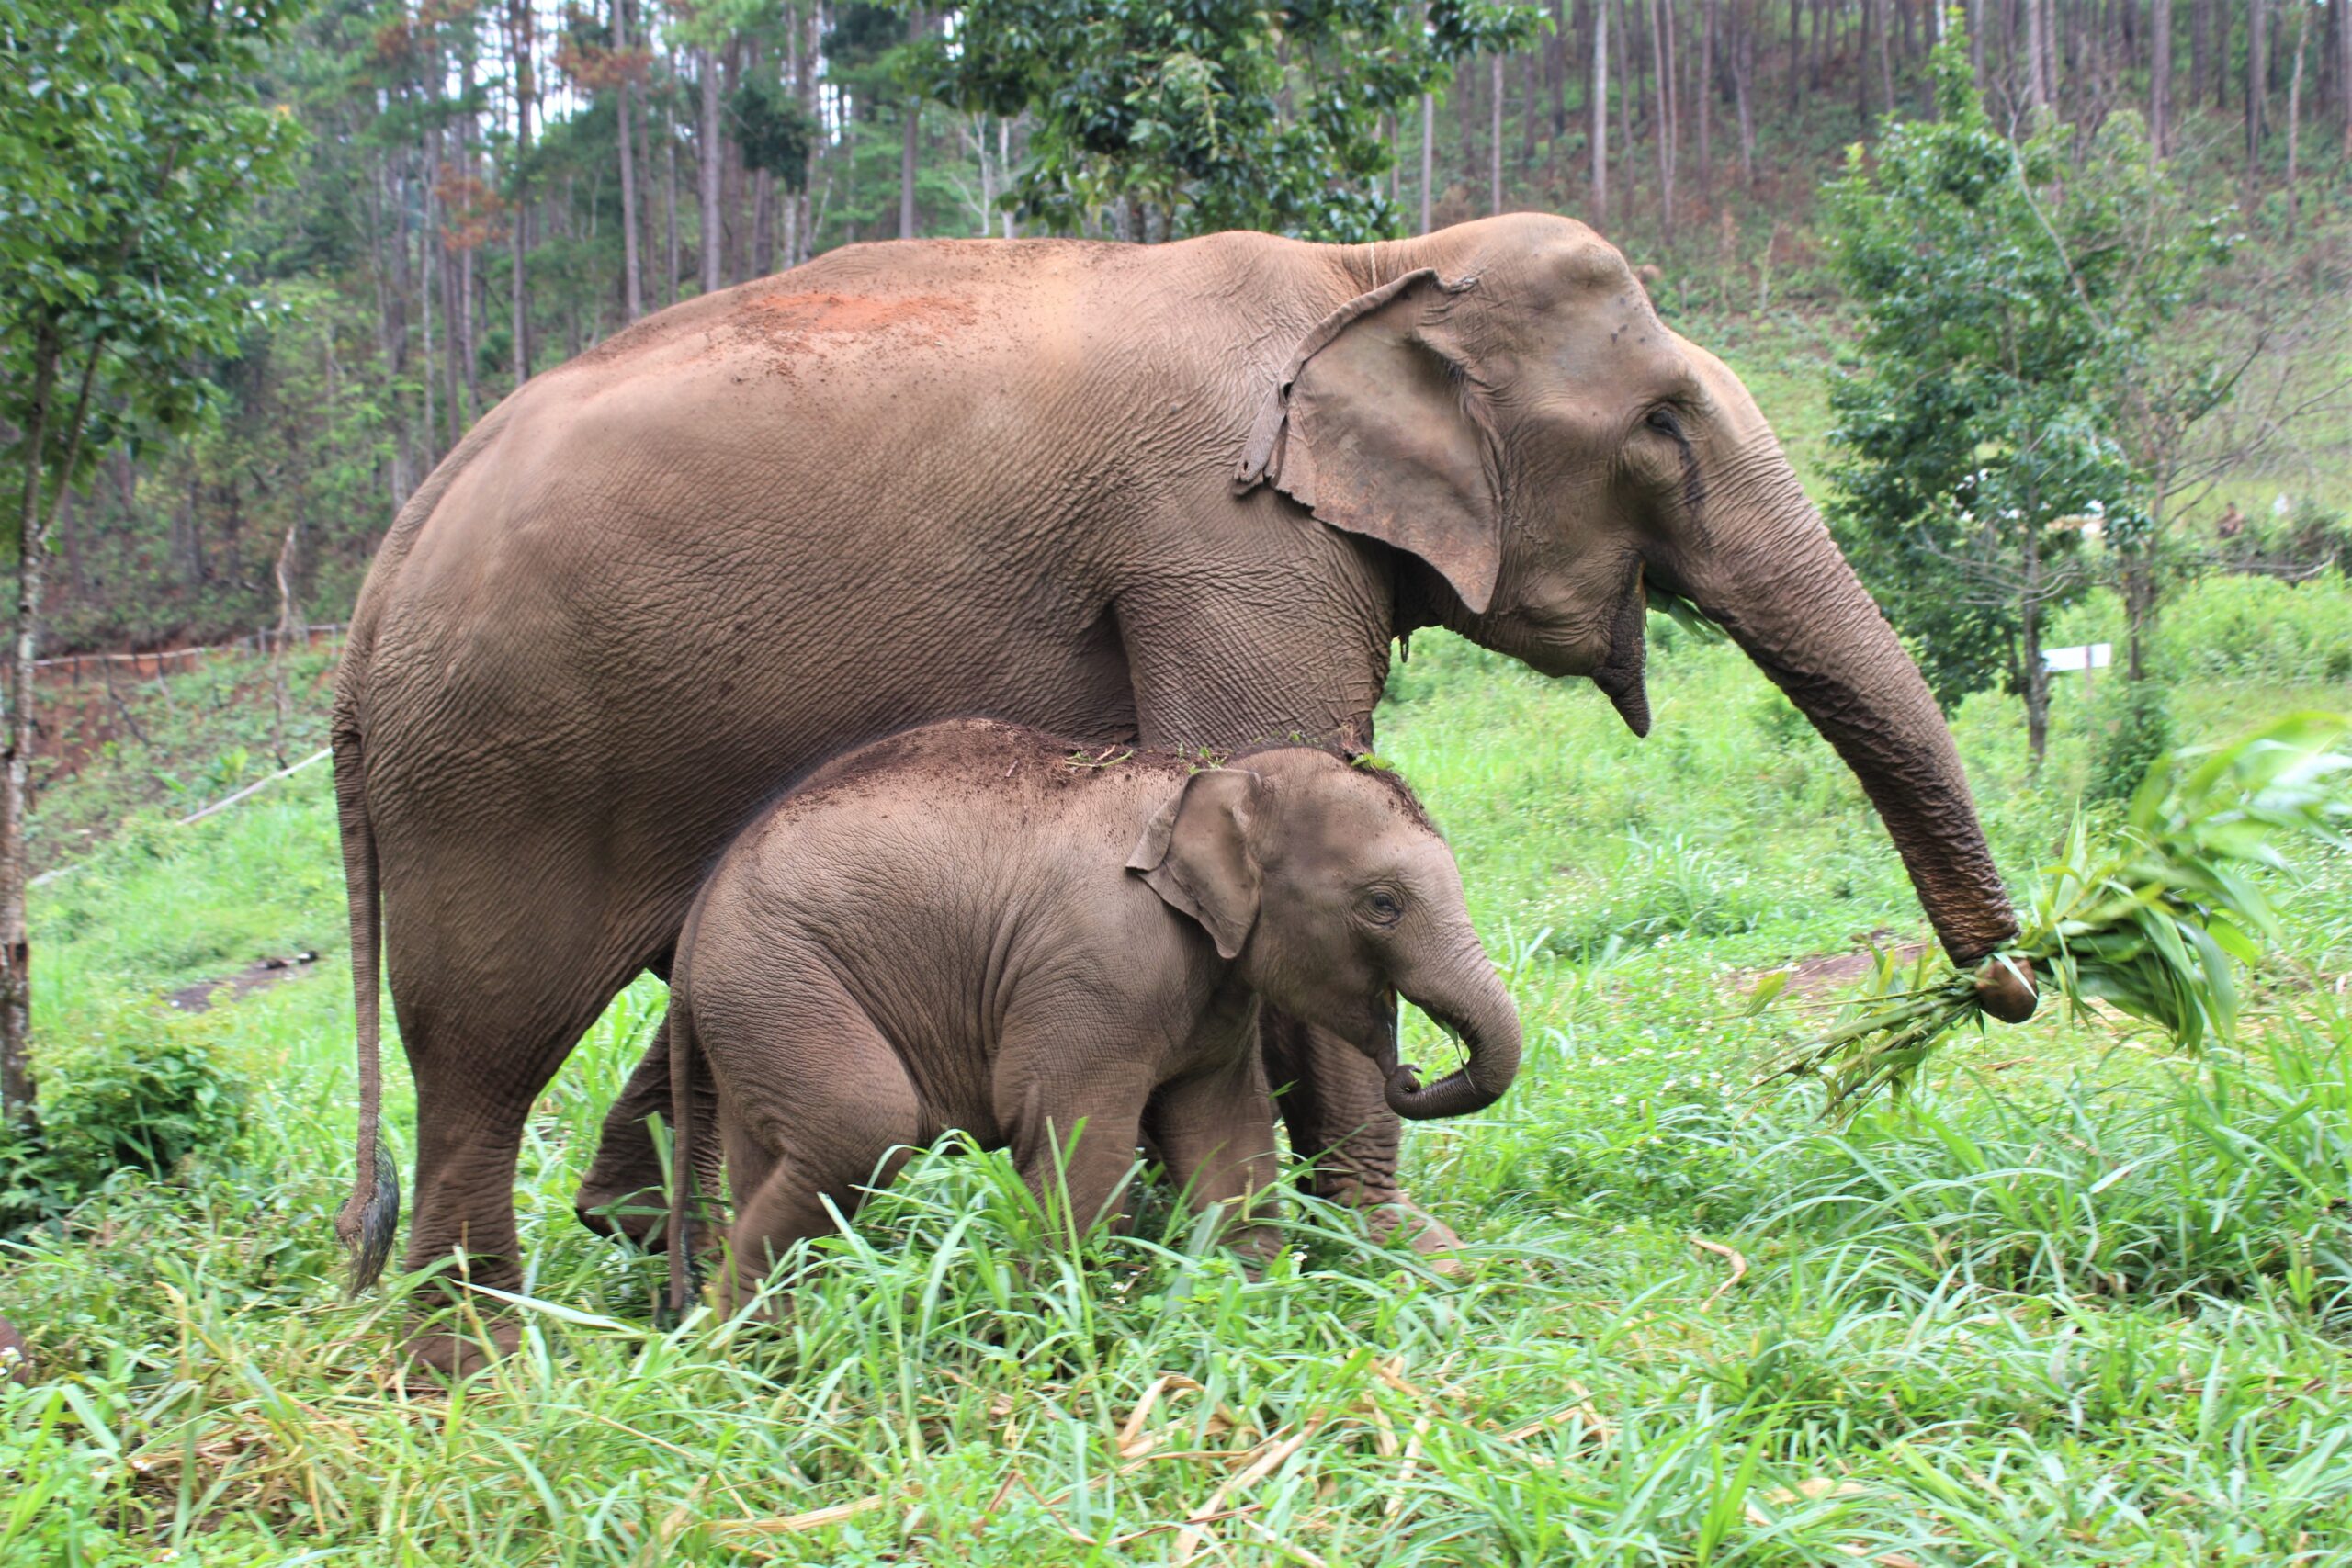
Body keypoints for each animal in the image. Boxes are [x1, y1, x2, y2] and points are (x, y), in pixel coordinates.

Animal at [660, 719, 1520, 1316]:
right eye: (1382, 905)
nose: (1410, 1069)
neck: (1210, 775)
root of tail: (697, 916)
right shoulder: (1102, 965)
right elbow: (1076, 1135)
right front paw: (1047, 1324)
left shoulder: (1213, 984)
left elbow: (1227, 1134)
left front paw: (1240, 1300)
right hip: (777, 975)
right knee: (861, 1127)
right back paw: (739, 1338)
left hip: (758, 1001)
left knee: (773, 1153)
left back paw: (774, 1333)